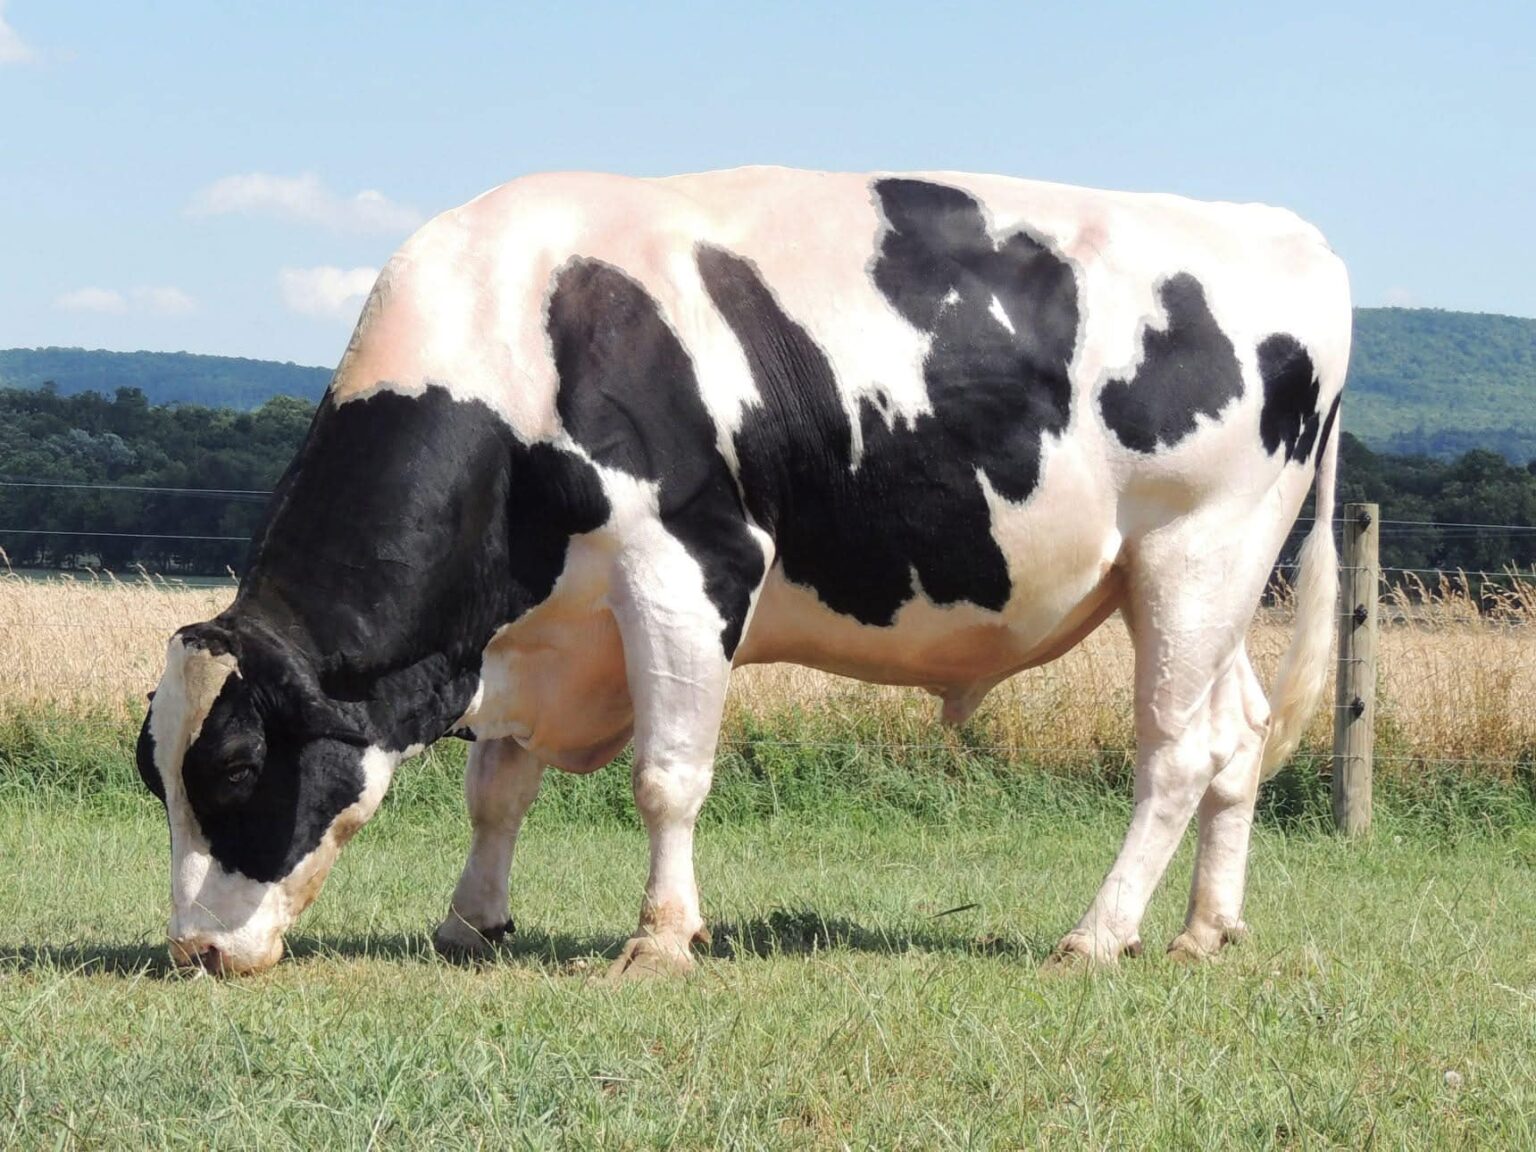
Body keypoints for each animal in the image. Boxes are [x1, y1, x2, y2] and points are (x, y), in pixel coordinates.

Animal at [136, 166, 1349, 978]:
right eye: (157, 776)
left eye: (235, 769)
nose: (194, 951)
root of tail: (1283, 231)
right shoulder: (535, 630)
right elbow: (498, 785)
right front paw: (471, 920)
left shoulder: (690, 563)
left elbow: (666, 777)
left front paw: (661, 940)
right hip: (1199, 582)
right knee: (1238, 736)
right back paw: (1204, 930)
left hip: (1196, 549)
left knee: (1174, 755)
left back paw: (1099, 935)